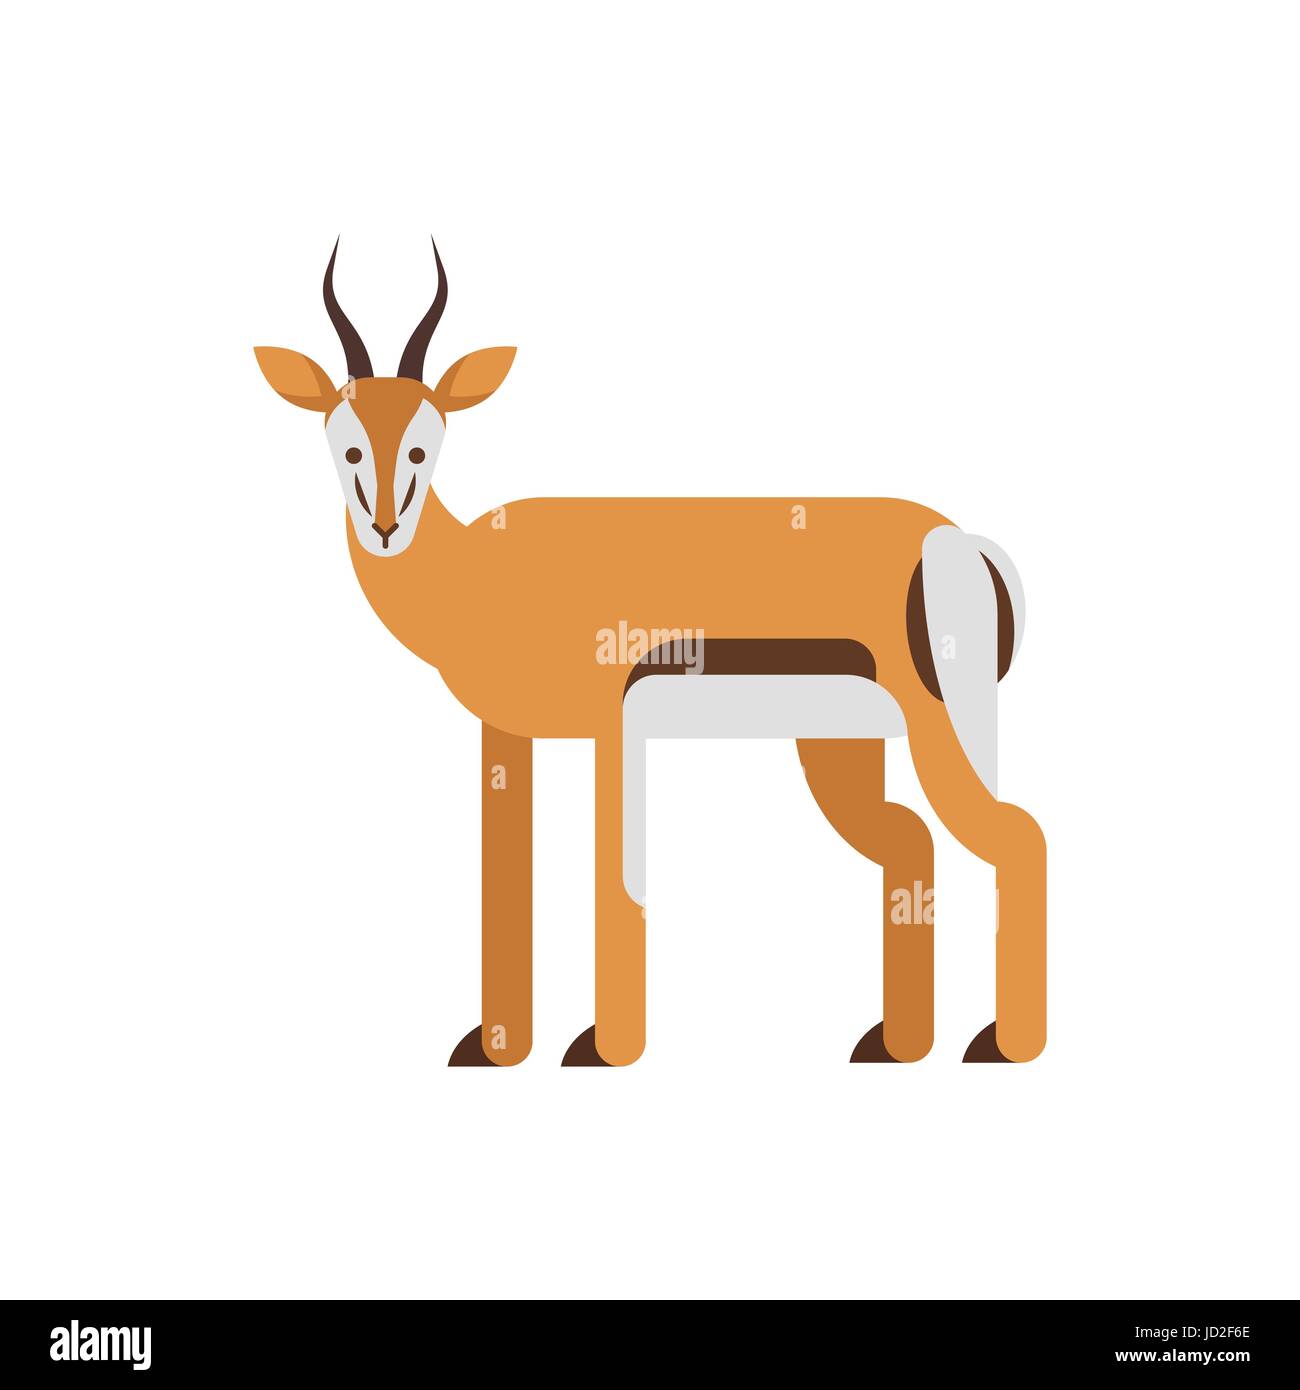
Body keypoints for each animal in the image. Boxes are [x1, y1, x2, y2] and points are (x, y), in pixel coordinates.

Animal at [255, 240, 1046, 1067]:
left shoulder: (613, 723)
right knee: (912, 843)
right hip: (841, 745)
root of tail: (963, 543)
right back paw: (894, 1047)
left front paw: (600, 1051)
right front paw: (495, 1048)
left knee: (1017, 833)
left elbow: (618, 878)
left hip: (942, 729)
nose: (384, 527)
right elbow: (506, 871)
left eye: (422, 442)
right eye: (344, 439)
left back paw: (998, 1046)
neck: (476, 570)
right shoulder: (506, 736)